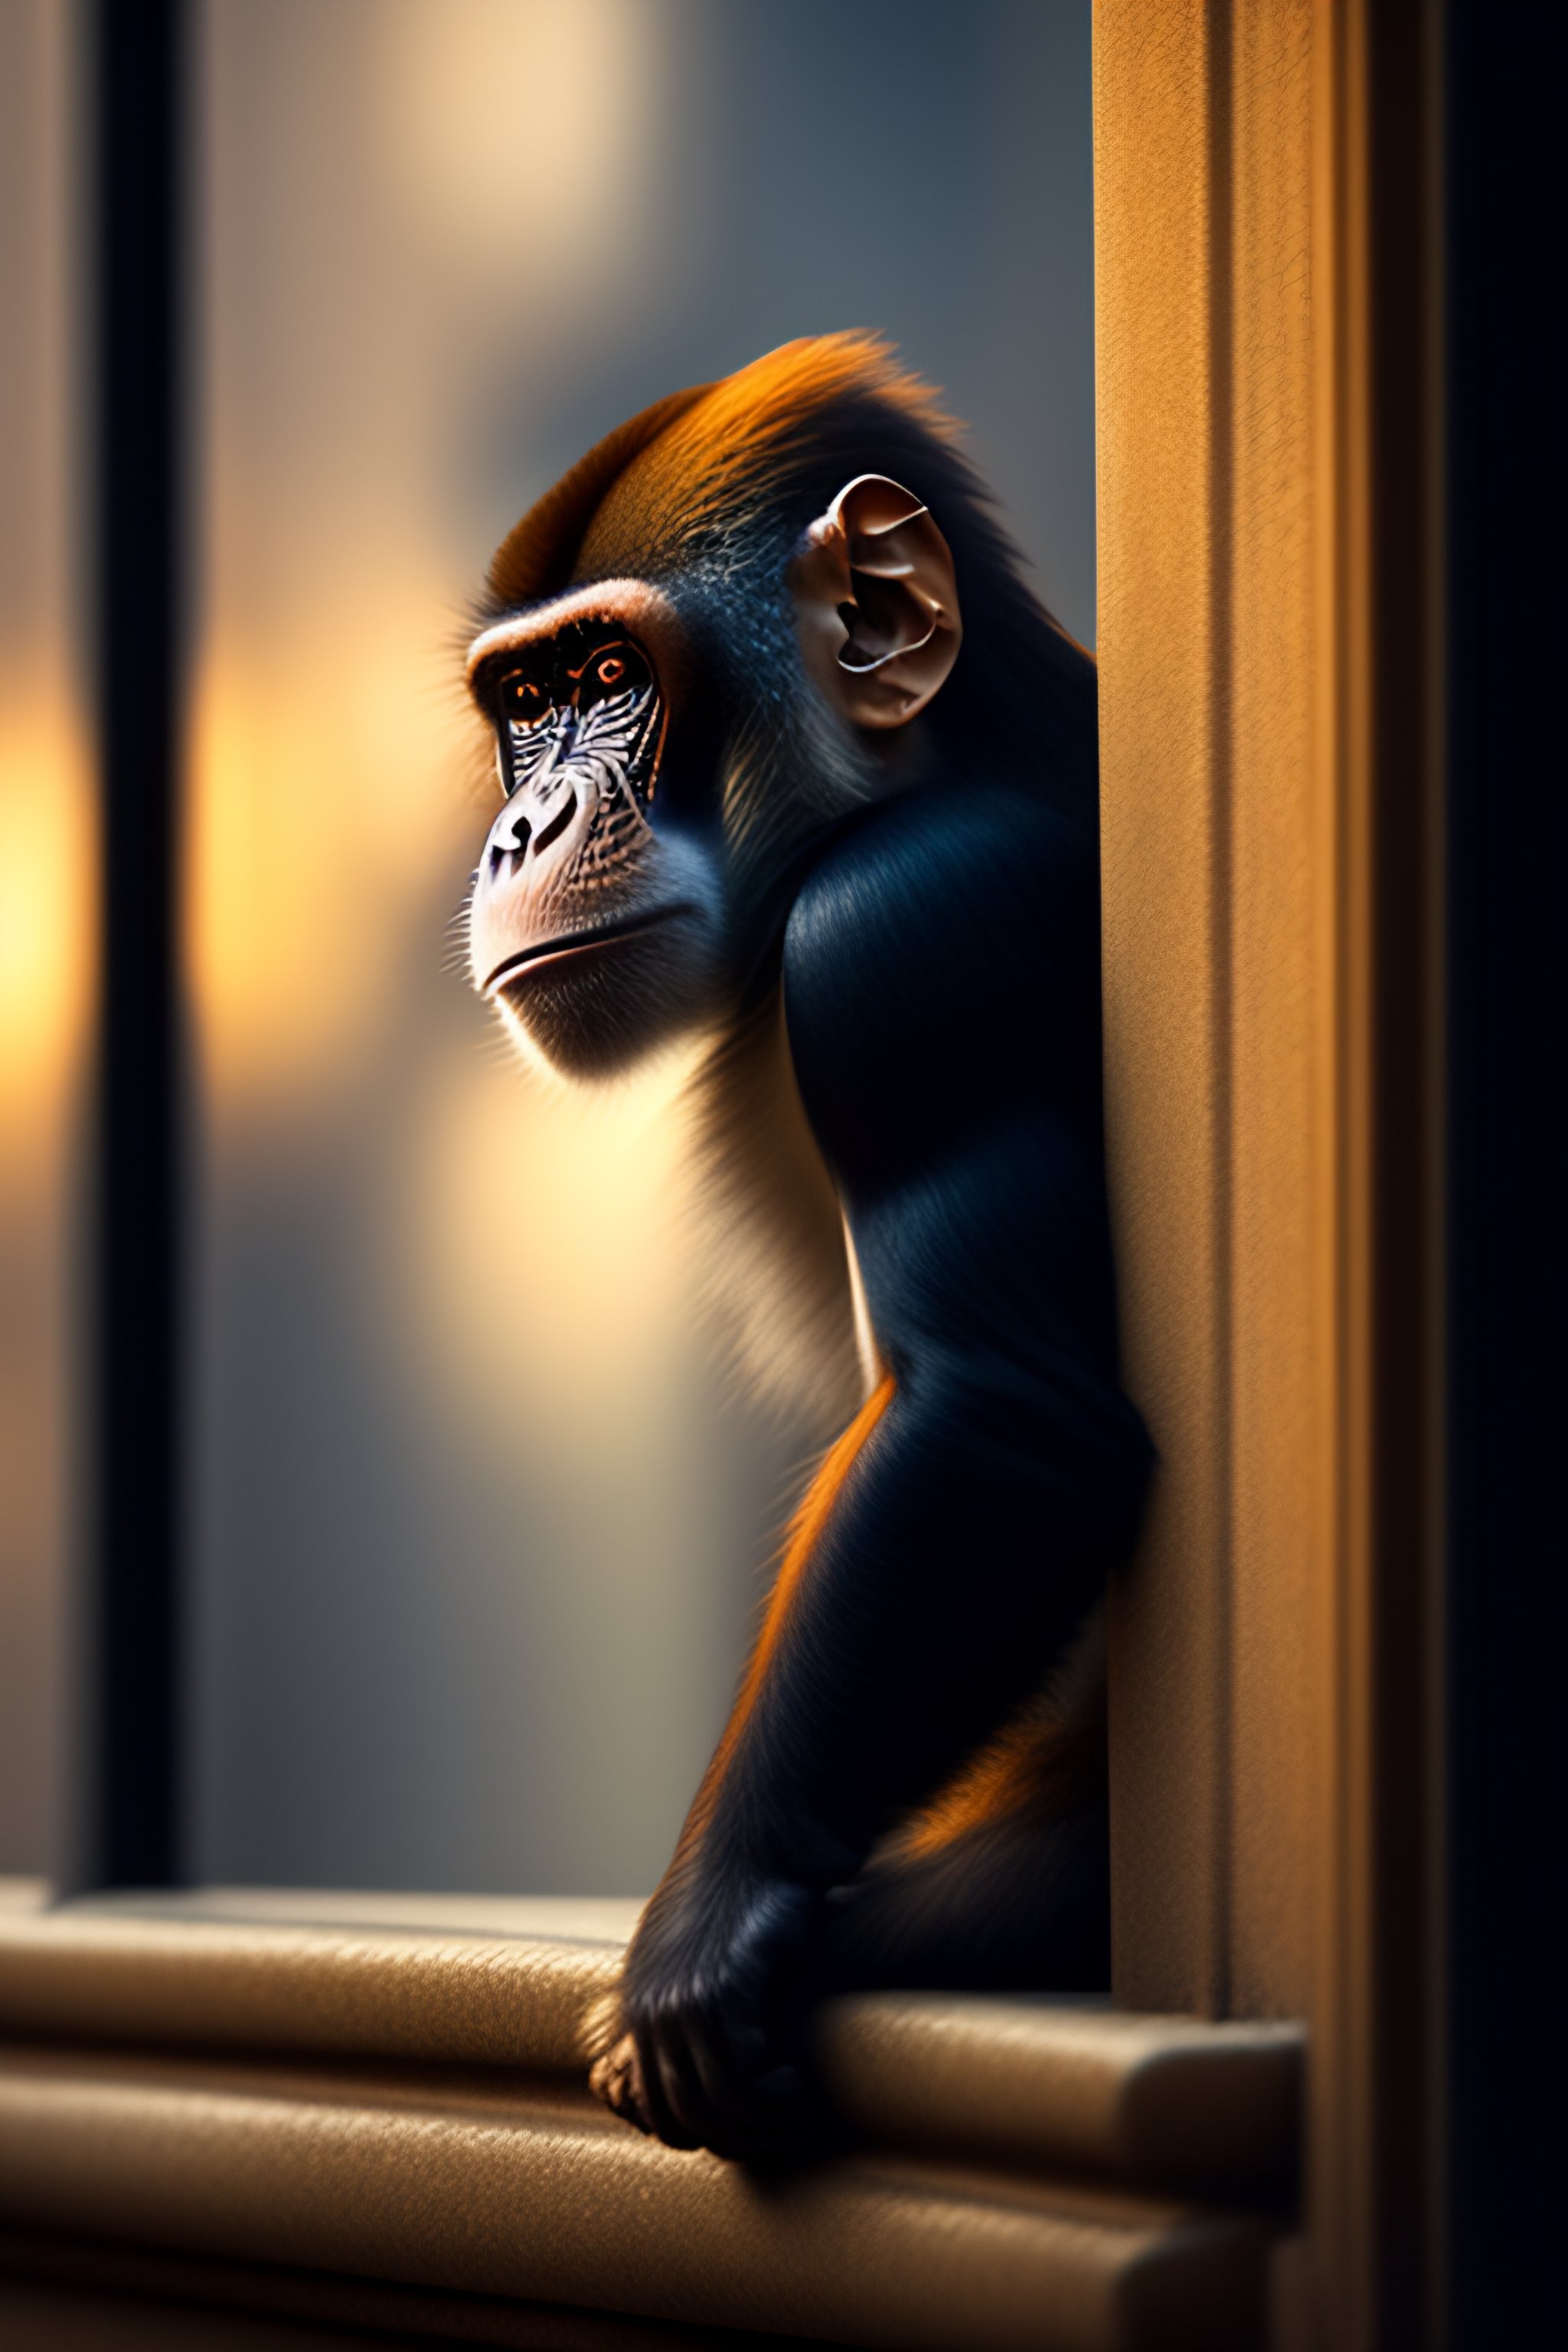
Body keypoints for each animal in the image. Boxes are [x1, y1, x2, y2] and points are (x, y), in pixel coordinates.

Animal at [461, 337, 1153, 2160]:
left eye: (612, 672)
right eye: (524, 705)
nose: (519, 829)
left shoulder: (902, 936)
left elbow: (994, 1415)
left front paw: (712, 1916)